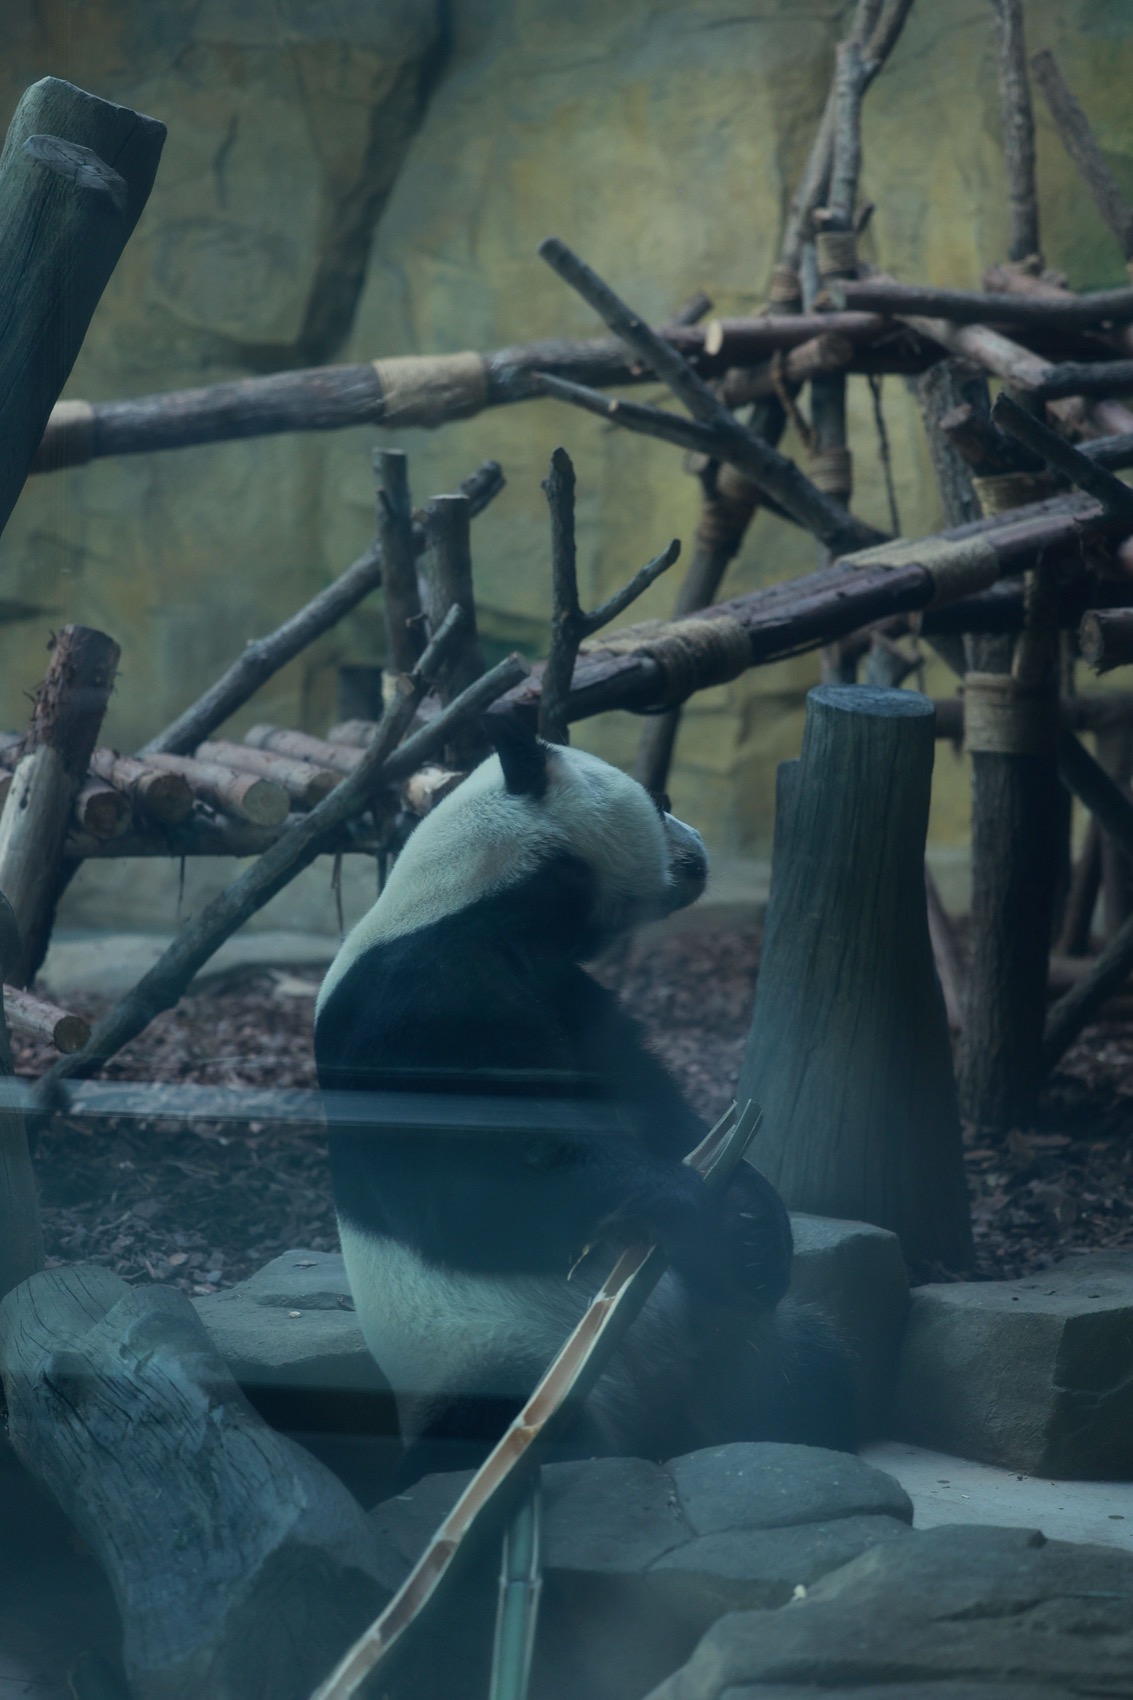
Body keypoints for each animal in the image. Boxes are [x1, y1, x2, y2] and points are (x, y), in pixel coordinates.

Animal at [314, 713, 853, 1482]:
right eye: (659, 799)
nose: (698, 848)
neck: (472, 896)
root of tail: (657, 1419)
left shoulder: (565, 990)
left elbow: (650, 1104)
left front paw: (752, 1223)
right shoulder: (415, 1001)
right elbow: (475, 1180)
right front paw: (689, 1200)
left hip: (729, 1345)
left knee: (808, 1366)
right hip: (499, 1364)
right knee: (488, 1433)